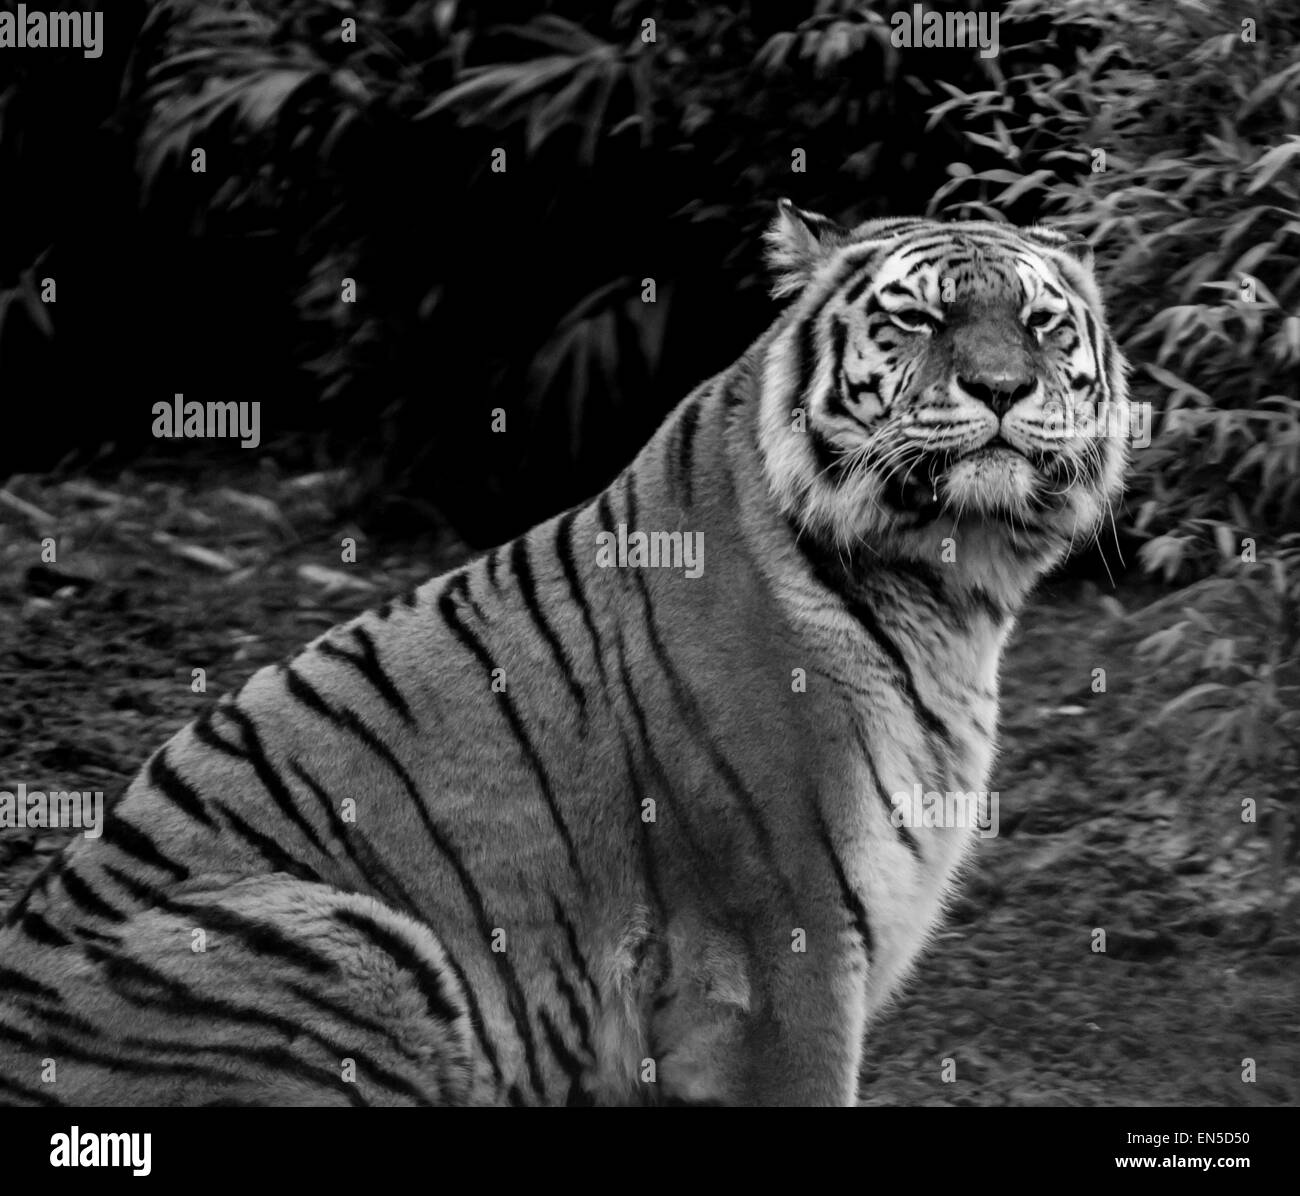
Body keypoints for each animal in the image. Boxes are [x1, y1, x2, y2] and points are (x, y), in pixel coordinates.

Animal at [0, 201, 1129, 1107]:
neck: (948, 589)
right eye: (919, 319)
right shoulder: (785, 944)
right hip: (347, 937)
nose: (1000, 387)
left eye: (1040, 322)